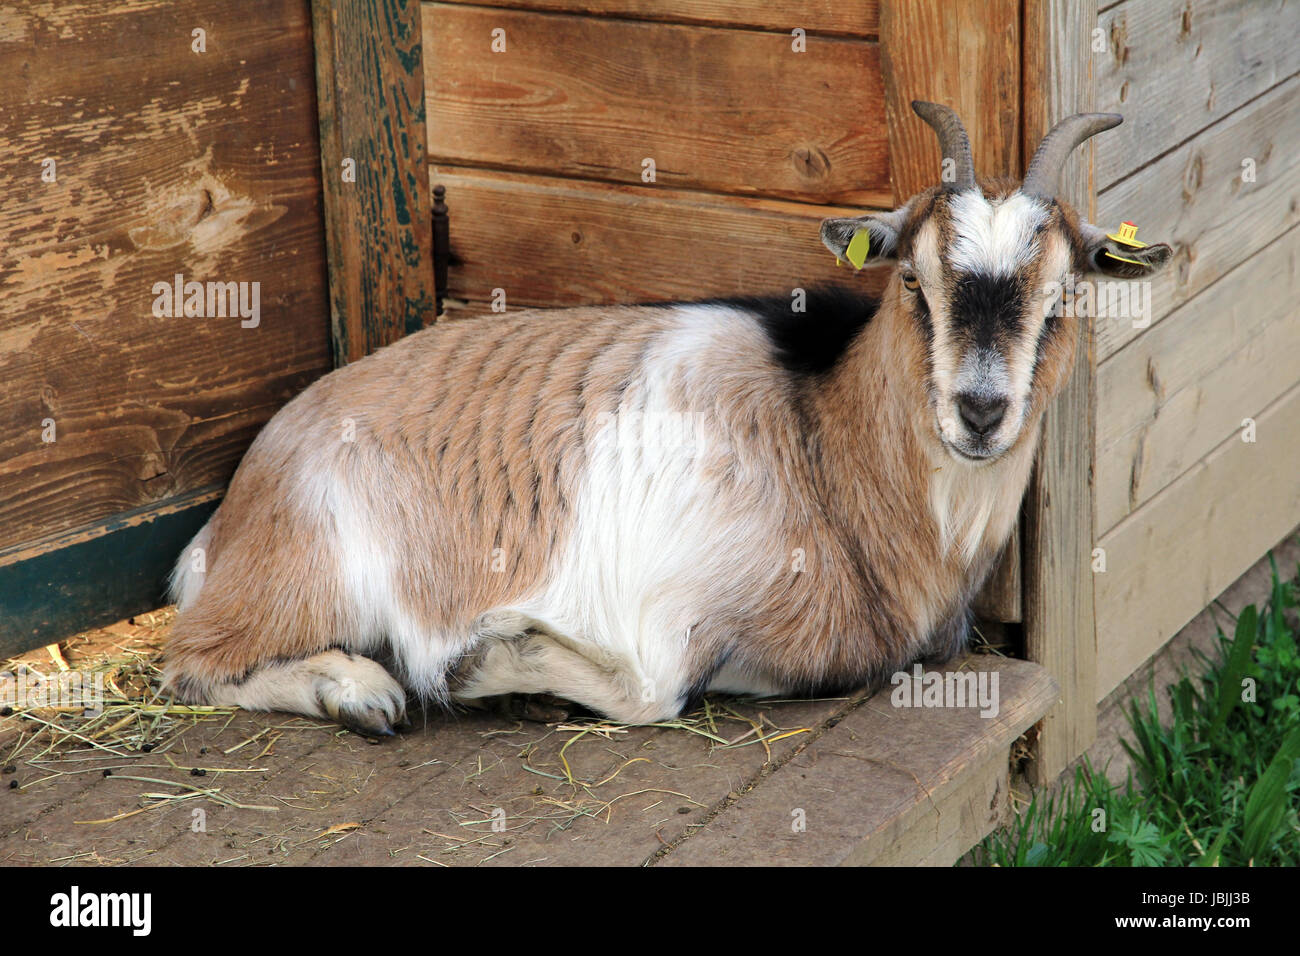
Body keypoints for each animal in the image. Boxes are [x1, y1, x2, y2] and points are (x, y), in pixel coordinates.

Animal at [162, 103, 1172, 735]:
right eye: (914, 283)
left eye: (1063, 298)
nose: (981, 411)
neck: (827, 451)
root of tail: (232, 514)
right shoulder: (673, 599)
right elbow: (656, 690)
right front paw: (487, 660)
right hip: (317, 565)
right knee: (194, 662)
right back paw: (363, 695)